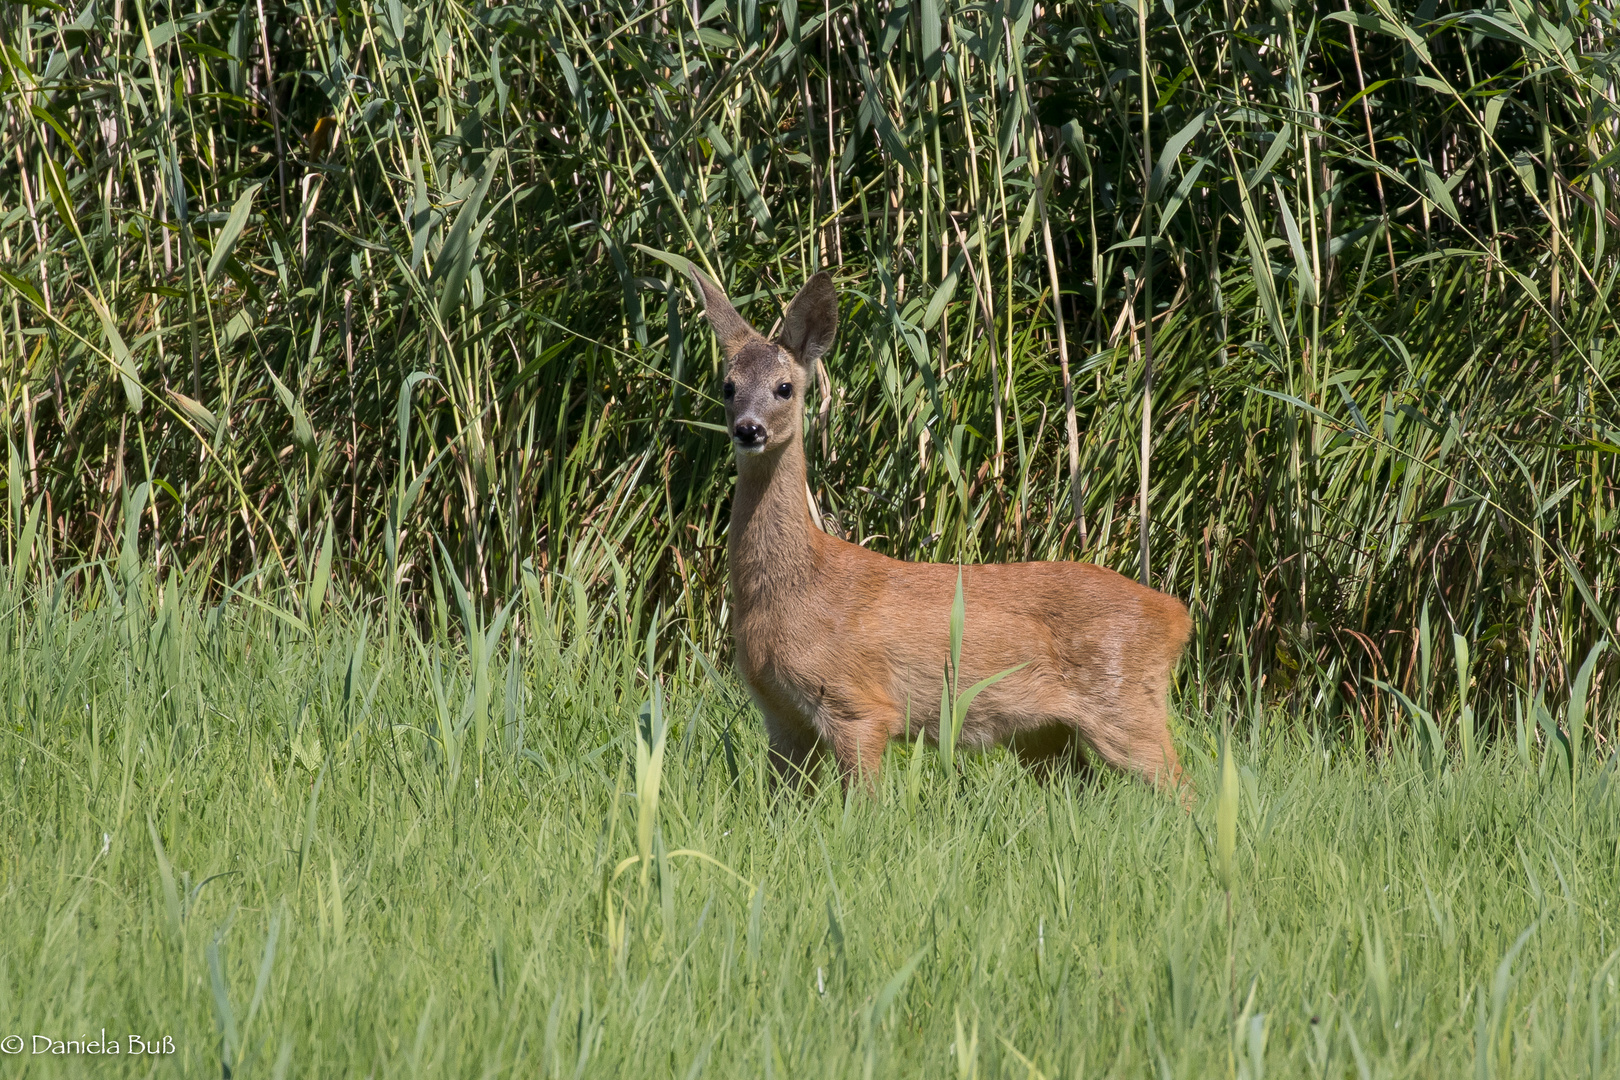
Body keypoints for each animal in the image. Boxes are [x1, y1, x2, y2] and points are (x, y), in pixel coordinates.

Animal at [689, 265, 1192, 797]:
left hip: (1125, 705)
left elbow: (862, 801)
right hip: (1045, 734)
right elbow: (782, 800)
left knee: (1183, 791)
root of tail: (1176, 616)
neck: (796, 588)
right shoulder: (780, 713)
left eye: (784, 387)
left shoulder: (857, 704)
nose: (749, 429)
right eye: (728, 386)